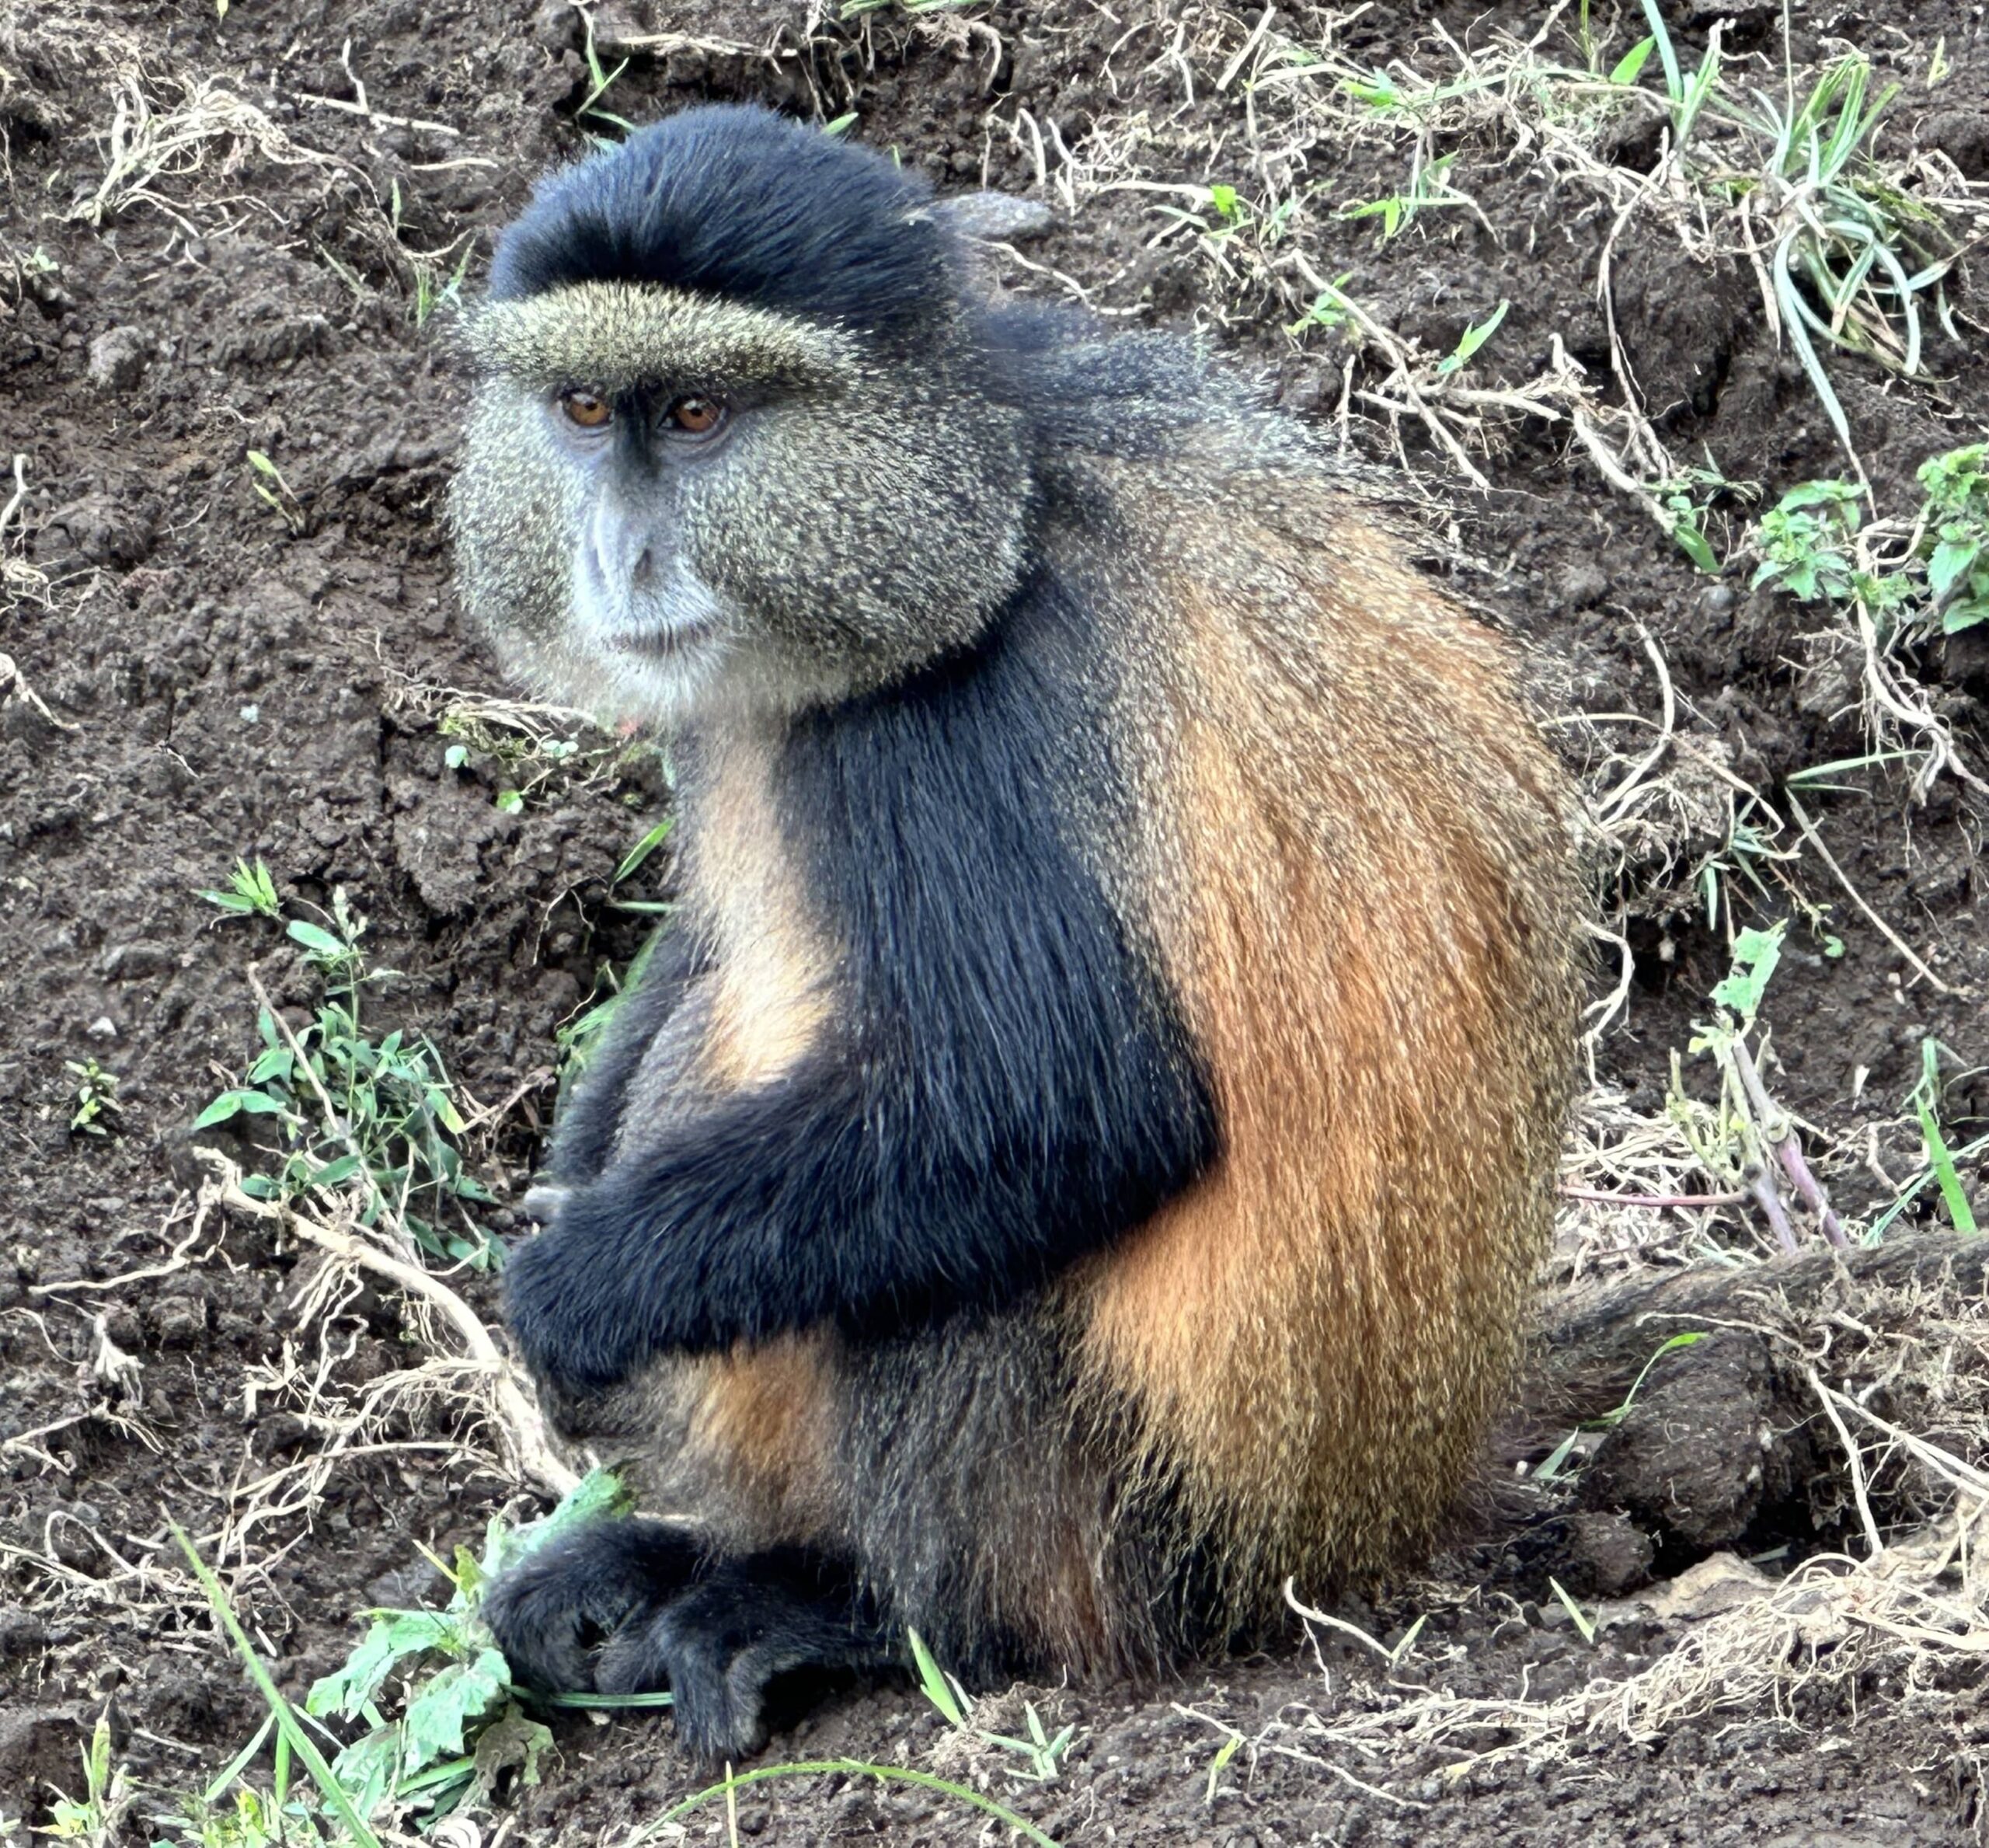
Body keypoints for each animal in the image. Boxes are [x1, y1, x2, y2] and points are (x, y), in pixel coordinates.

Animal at [452, 104, 1583, 1763]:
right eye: (588, 411)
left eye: (703, 412)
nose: (621, 556)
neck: (1001, 483)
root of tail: (1365, 1525)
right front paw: (567, 1169)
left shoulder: (962, 721)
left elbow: (1067, 1103)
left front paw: (569, 1291)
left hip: (1134, 1536)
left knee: (943, 1272)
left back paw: (868, 1616)